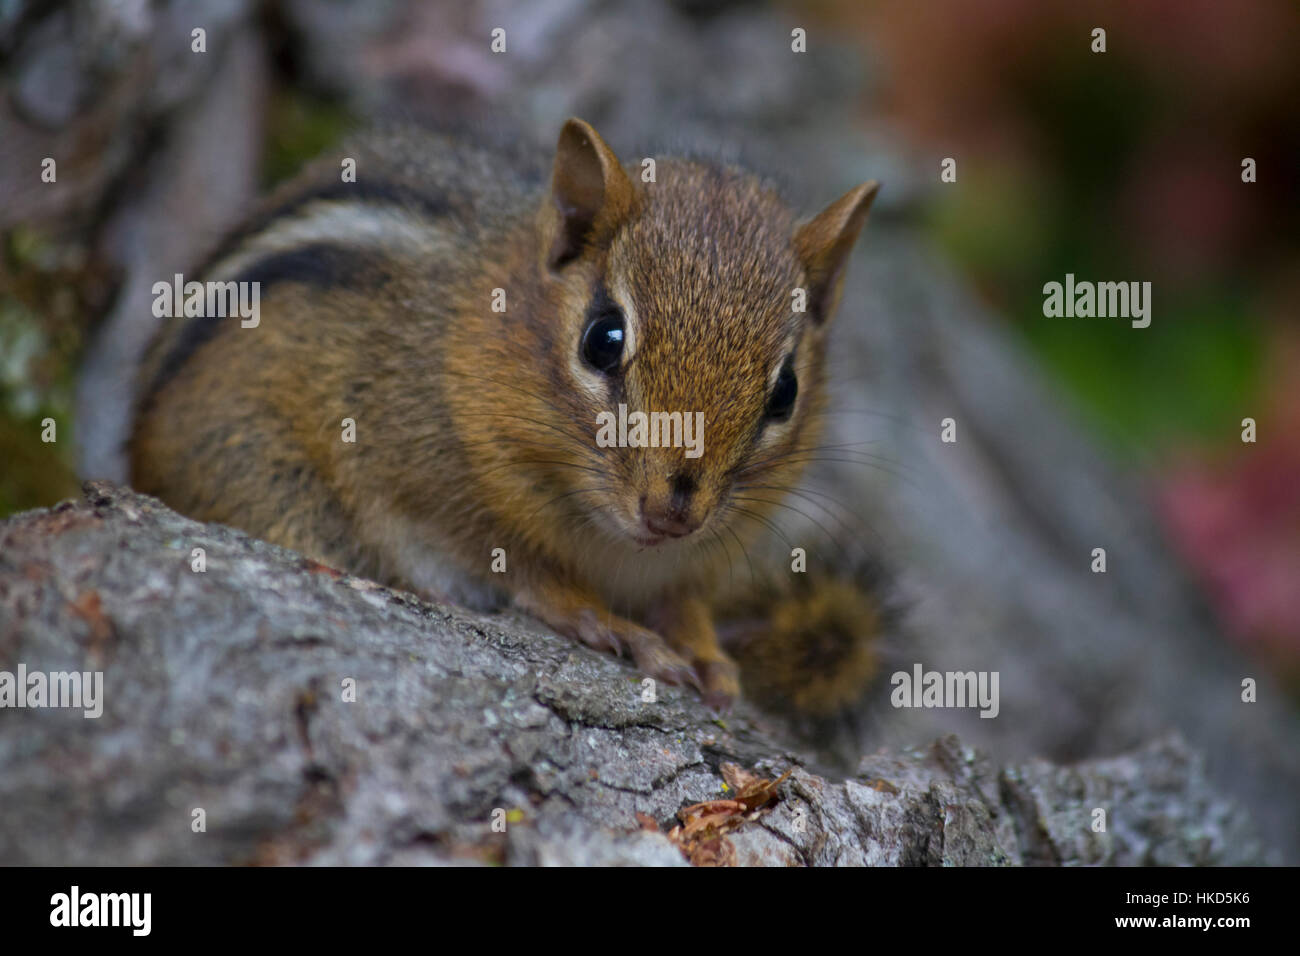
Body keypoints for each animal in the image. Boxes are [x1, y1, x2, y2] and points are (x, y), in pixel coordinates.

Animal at [128, 118, 885, 712]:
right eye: (603, 339)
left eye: (785, 391)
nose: (671, 513)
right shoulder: (426, 473)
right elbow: (523, 570)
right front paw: (608, 622)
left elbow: (683, 602)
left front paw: (706, 652)